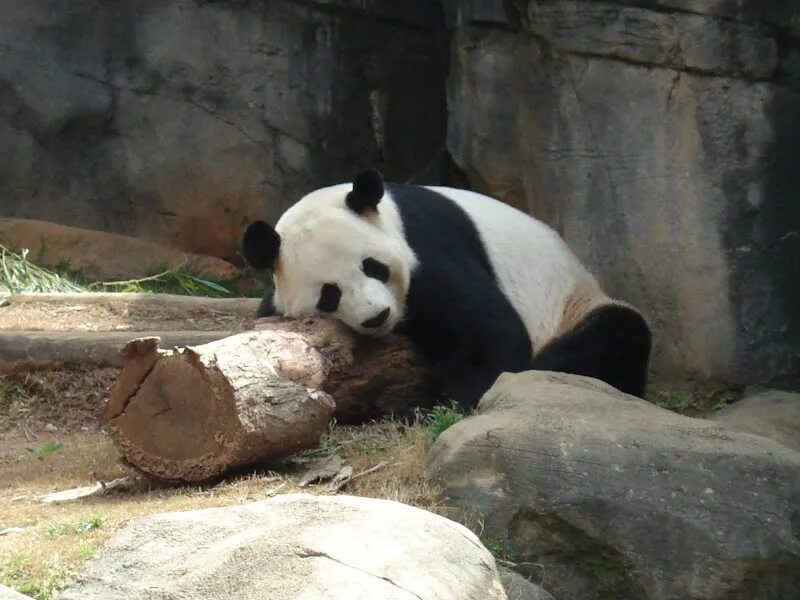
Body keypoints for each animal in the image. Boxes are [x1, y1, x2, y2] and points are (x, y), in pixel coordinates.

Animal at [242, 170, 651, 410]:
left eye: (373, 266)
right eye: (330, 294)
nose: (378, 316)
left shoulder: (427, 250)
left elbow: (489, 334)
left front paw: (441, 404)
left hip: (573, 304)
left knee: (615, 334)